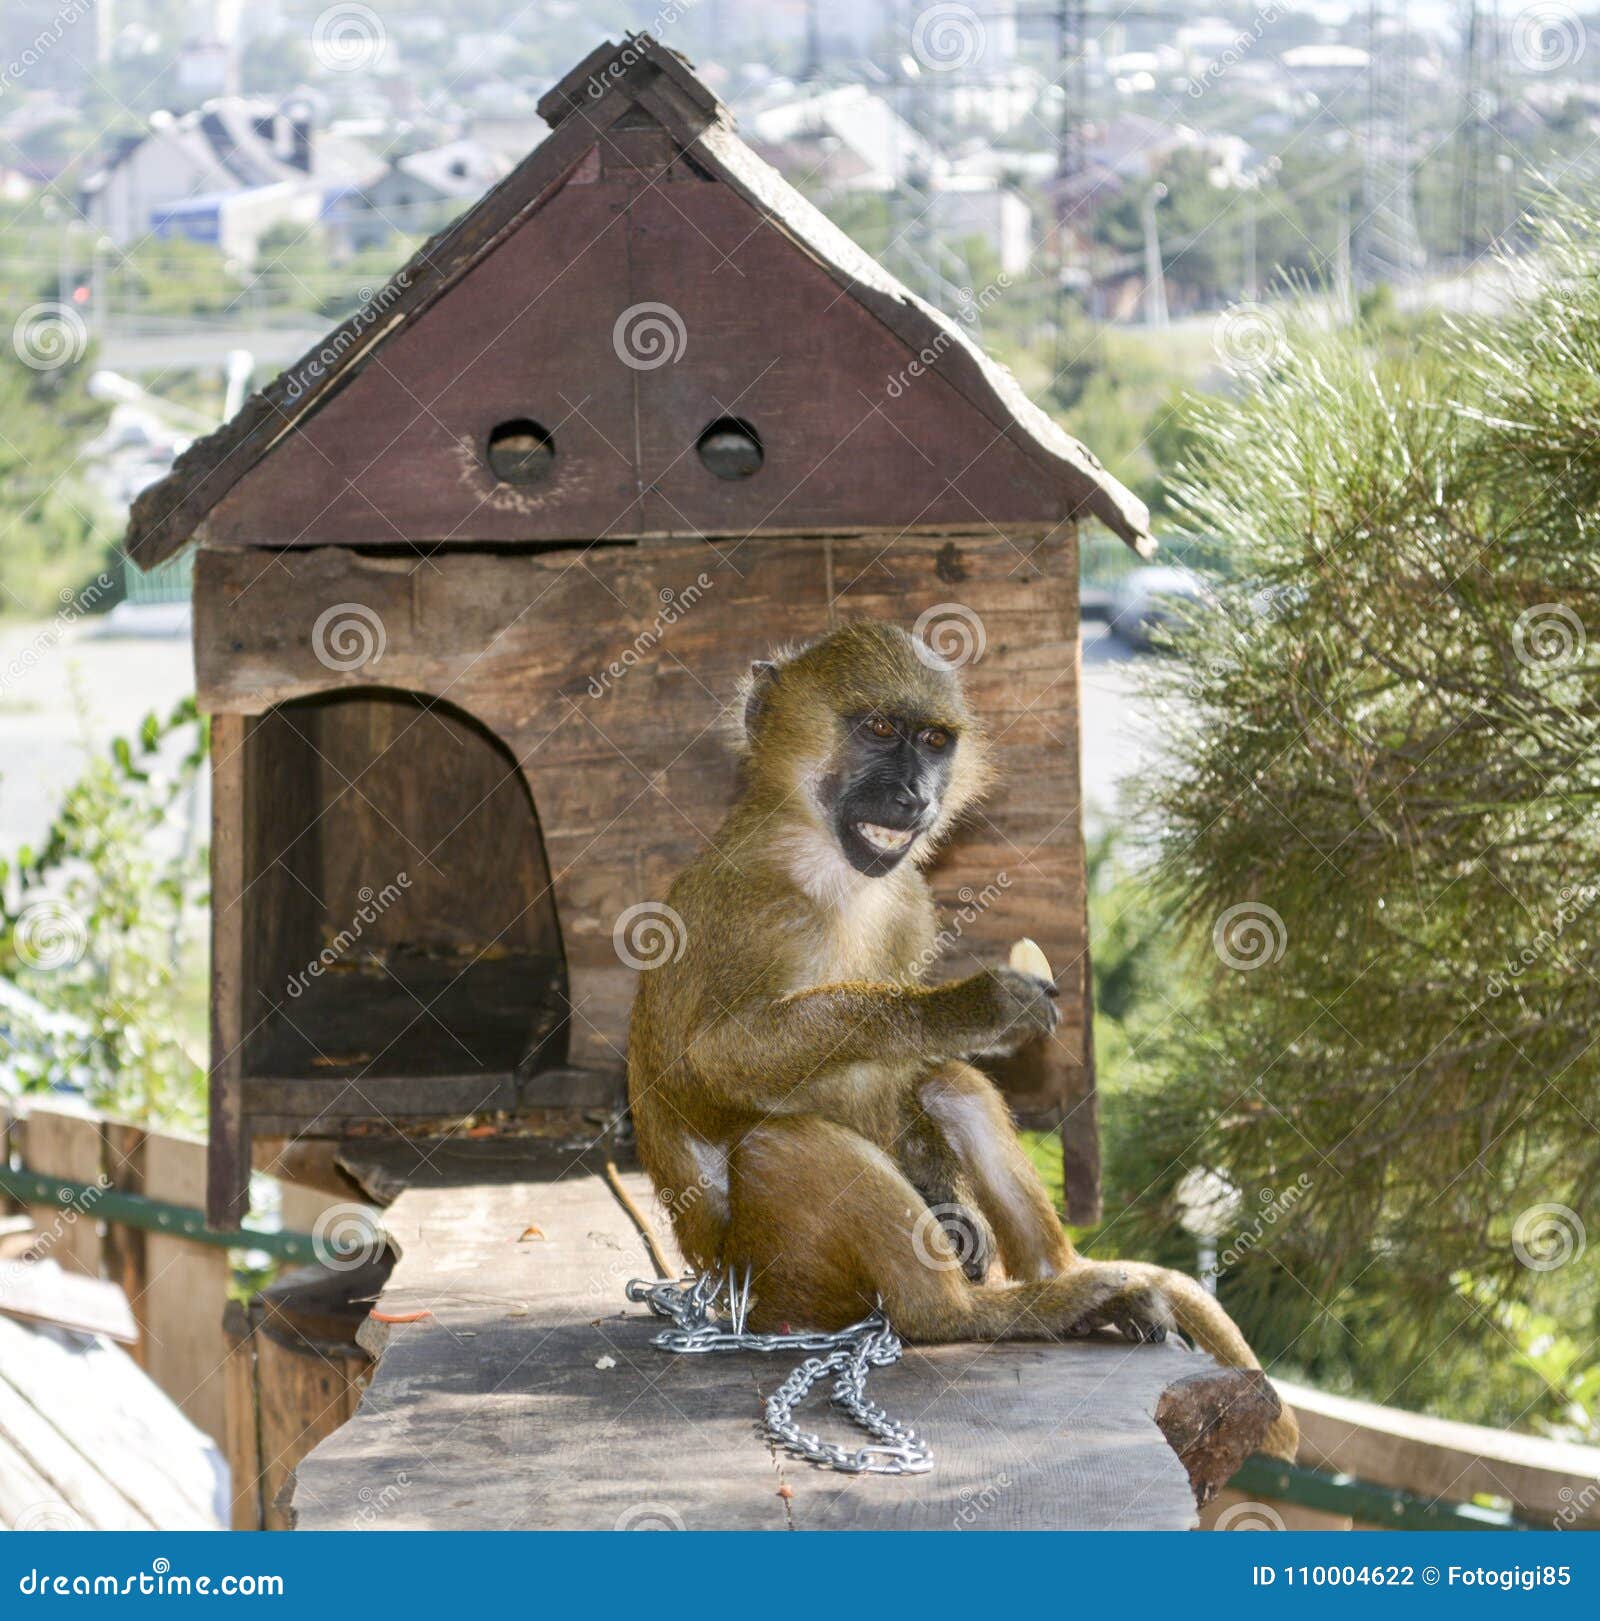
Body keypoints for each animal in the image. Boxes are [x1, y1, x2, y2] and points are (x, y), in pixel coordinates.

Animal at [626, 619, 1298, 1462]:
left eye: (934, 740)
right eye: (880, 728)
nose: (915, 796)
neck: (828, 866)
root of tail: (718, 1282)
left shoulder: (906, 899)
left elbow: (911, 1083)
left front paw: (955, 1203)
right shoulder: (756, 906)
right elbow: (710, 1063)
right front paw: (965, 1007)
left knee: (953, 1088)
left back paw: (1068, 1275)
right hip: (782, 1278)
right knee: (786, 1147)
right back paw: (981, 1311)